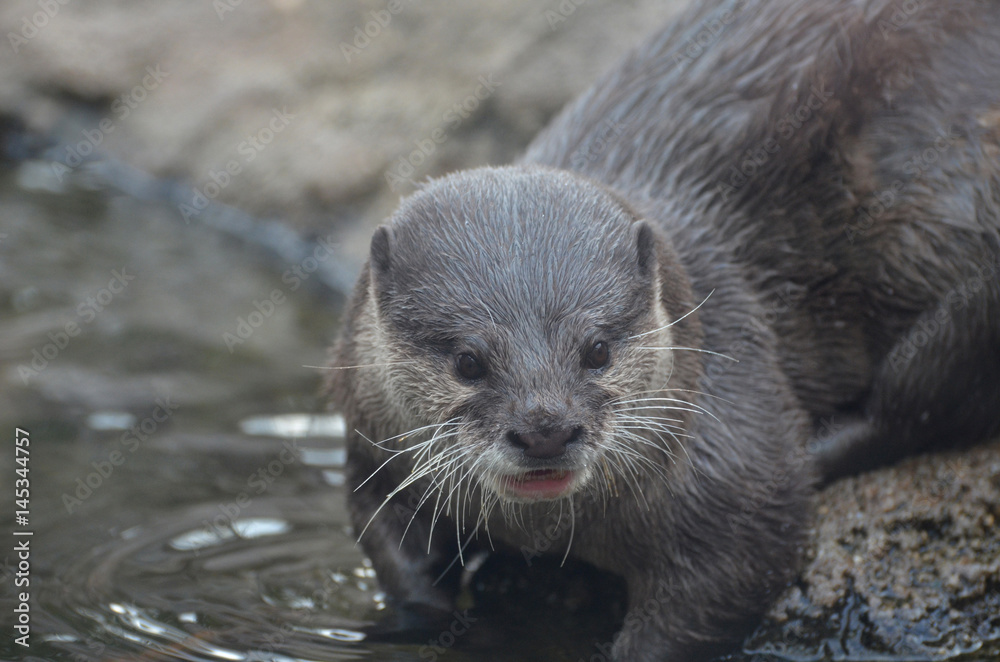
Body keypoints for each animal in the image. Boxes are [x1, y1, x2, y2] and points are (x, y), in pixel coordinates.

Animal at [328, 0, 1000, 659]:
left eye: (597, 349)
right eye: (468, 361)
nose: (546, 428)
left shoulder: (729, 463)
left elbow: (730, 571)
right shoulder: (372, 447)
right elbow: (392, 552)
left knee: (920, 396)